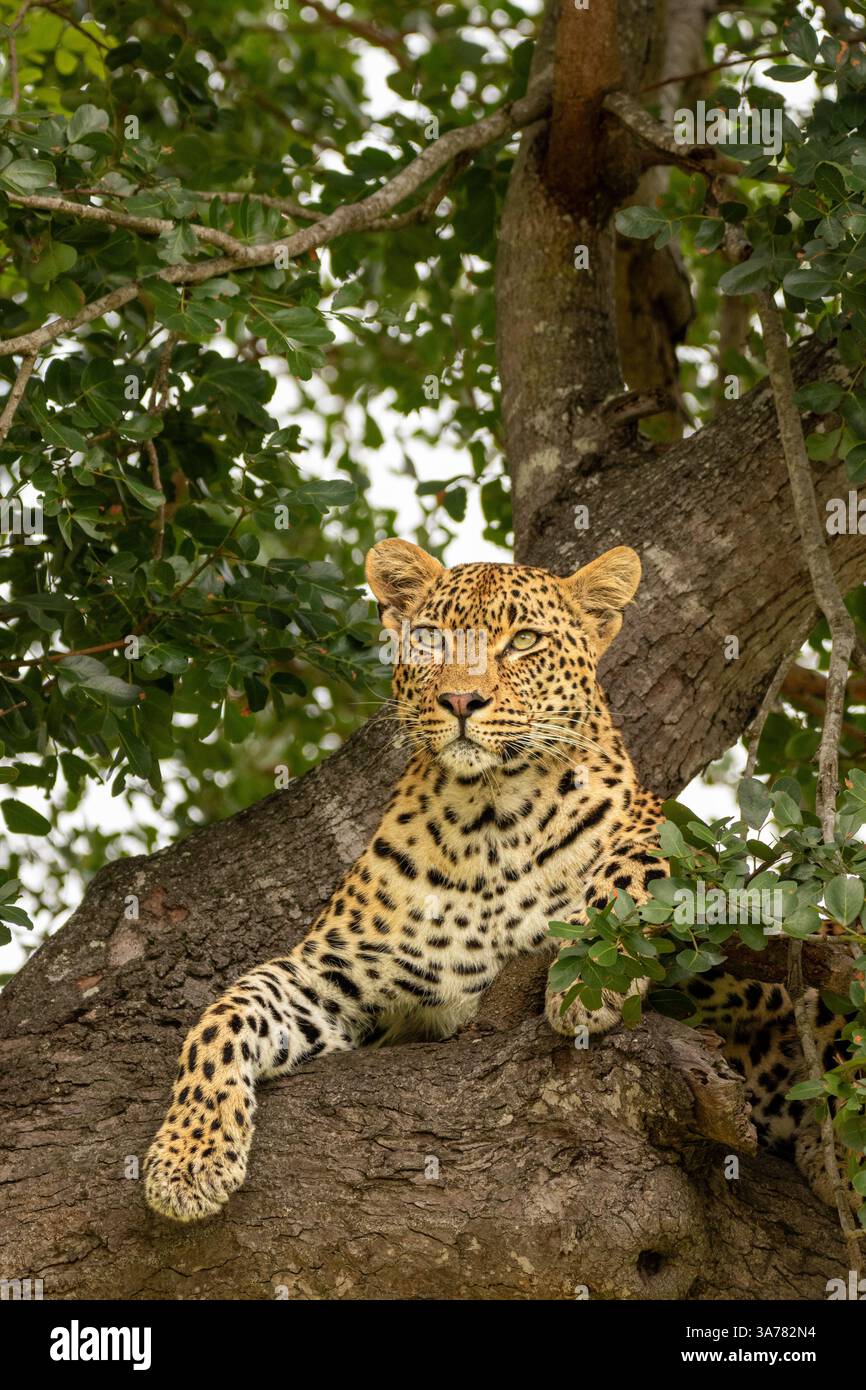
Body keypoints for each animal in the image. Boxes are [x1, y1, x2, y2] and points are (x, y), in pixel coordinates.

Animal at [144, 538, 843, 1221]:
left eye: (524, 641)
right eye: (432, 639)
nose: (460, 701)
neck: (487, 820)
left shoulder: (675, 840)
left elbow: (635, 866)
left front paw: (592, 983)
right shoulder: (334, 977)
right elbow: (226, 1012)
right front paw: (187, 1160)